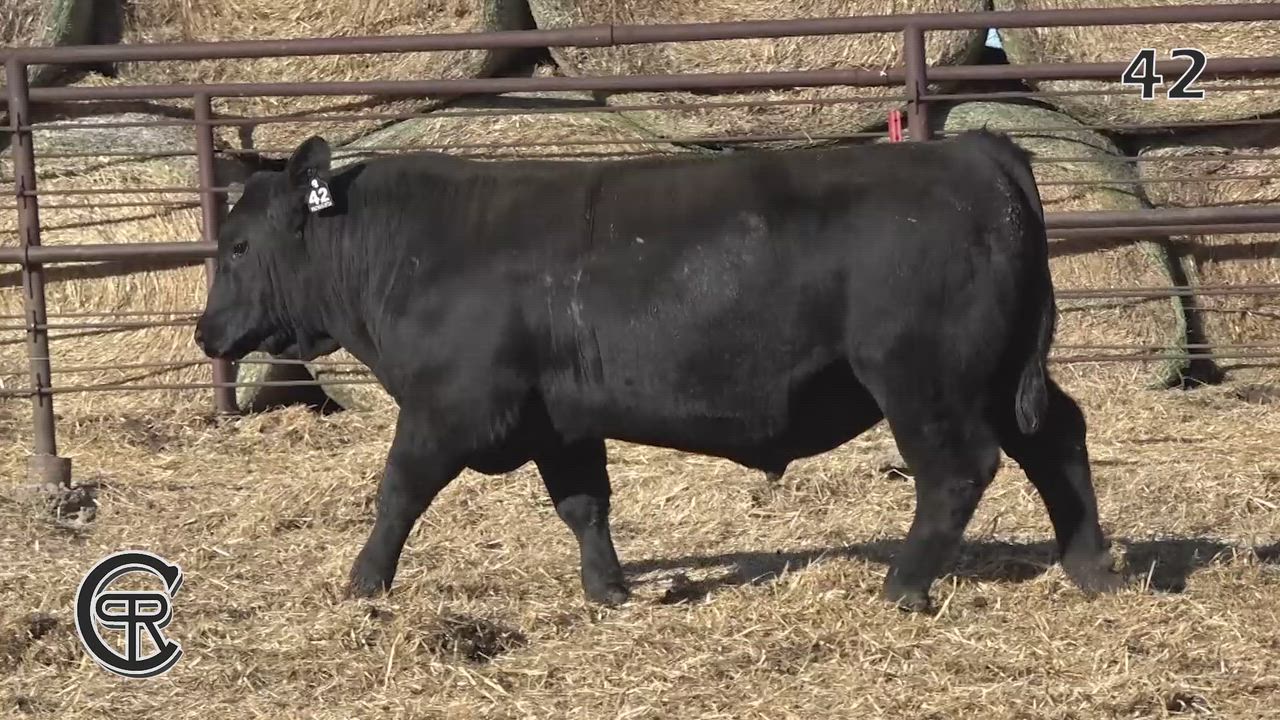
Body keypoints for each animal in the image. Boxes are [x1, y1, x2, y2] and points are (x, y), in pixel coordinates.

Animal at [194, 129, 1125, 612]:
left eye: (237, 245)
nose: (207, 332)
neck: (413, 252)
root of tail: (970, 151)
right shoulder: (559, 421)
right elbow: (584, 506)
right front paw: (608, 590)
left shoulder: (448, 410)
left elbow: (396, 494)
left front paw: (363, 583)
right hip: (1000, 381)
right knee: (1059, 439)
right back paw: (1088, 567)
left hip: (924, 381)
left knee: (956, 472)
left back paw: (902, 585)